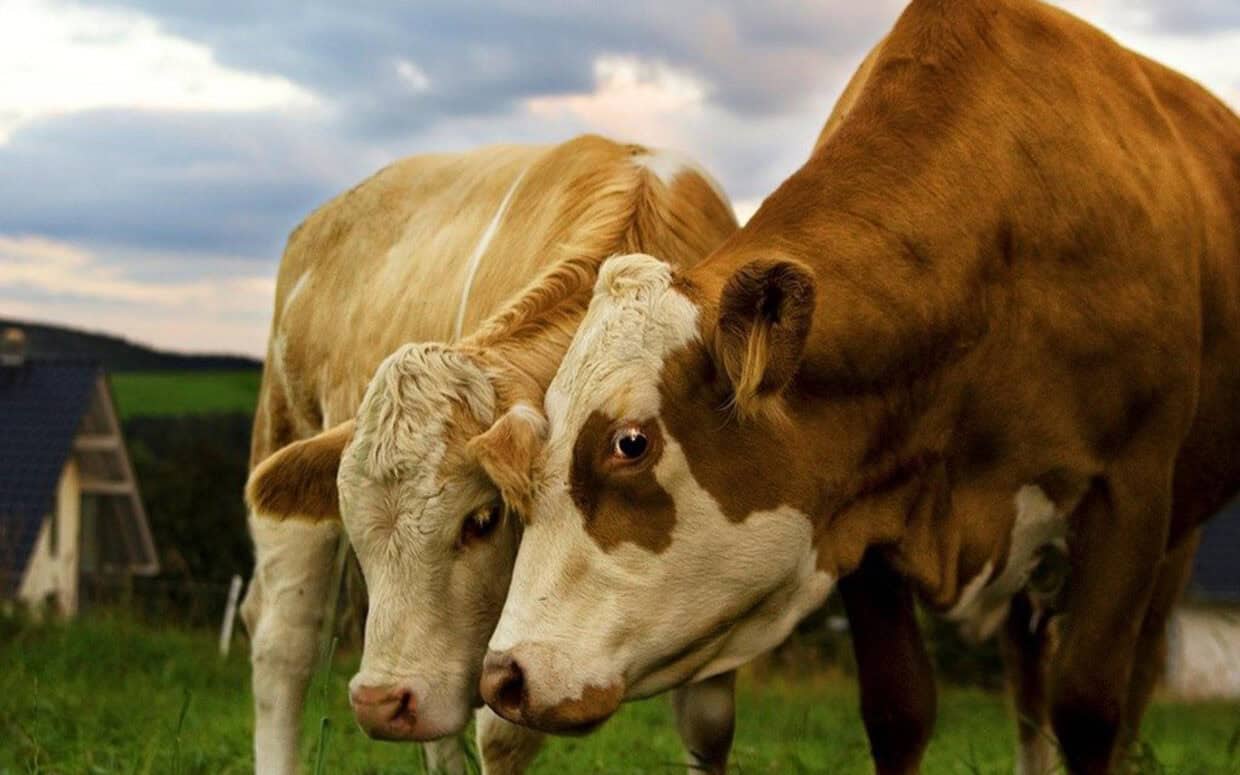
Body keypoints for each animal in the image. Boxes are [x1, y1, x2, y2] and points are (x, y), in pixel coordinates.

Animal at [239, 135, 744, 774]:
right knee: (283, 642)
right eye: (355, 526)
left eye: (482, 519)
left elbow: (708, 726)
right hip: (283, 429)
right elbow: (506, 734)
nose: (381, 703)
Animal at [478, 2, 1240, 774]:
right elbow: (899, 709)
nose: (503, 676)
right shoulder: (865, 501)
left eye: (630, 442)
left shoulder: (1131, 494)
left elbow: (1089, 709)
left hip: (1176, 536)